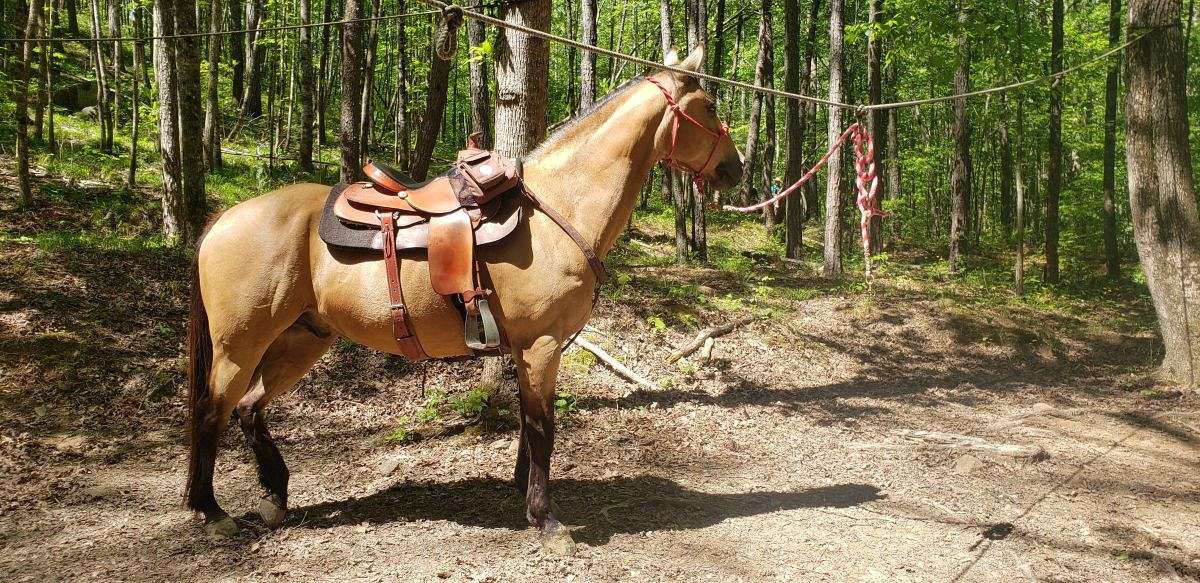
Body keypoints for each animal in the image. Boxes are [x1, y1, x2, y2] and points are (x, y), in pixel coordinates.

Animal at [183, 45, 742, 553]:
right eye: (710, 106)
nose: (737, 169)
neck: (560, 207)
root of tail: (223, 219)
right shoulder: (541, 346)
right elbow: (543, 427)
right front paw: (547, 520)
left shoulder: (530, 349)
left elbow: (529, 427)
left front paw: (526, 496)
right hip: (240, 346)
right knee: (212, 412)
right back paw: (212, 512)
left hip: (302, 340)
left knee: (250, 408)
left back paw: (275, 496)